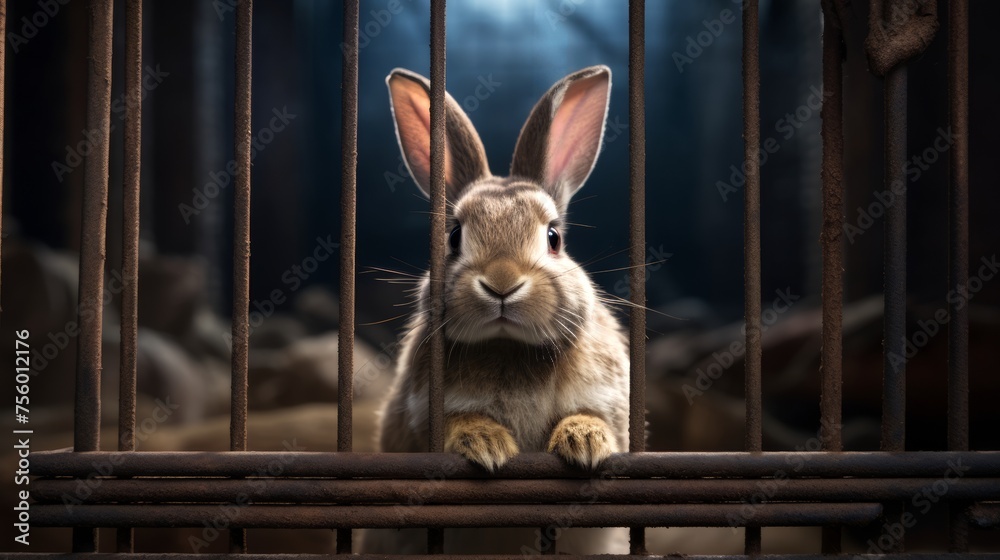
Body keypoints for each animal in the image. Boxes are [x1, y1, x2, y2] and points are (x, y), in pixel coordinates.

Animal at [360, 66, 632, 555]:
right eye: (453, 237)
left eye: (554, 238)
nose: (502, 283)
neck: (509, 345)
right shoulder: (420, 417)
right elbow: (457, 423)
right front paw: (488, 446)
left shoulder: (612, 402)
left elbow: (597, 420)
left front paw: (584, 443)